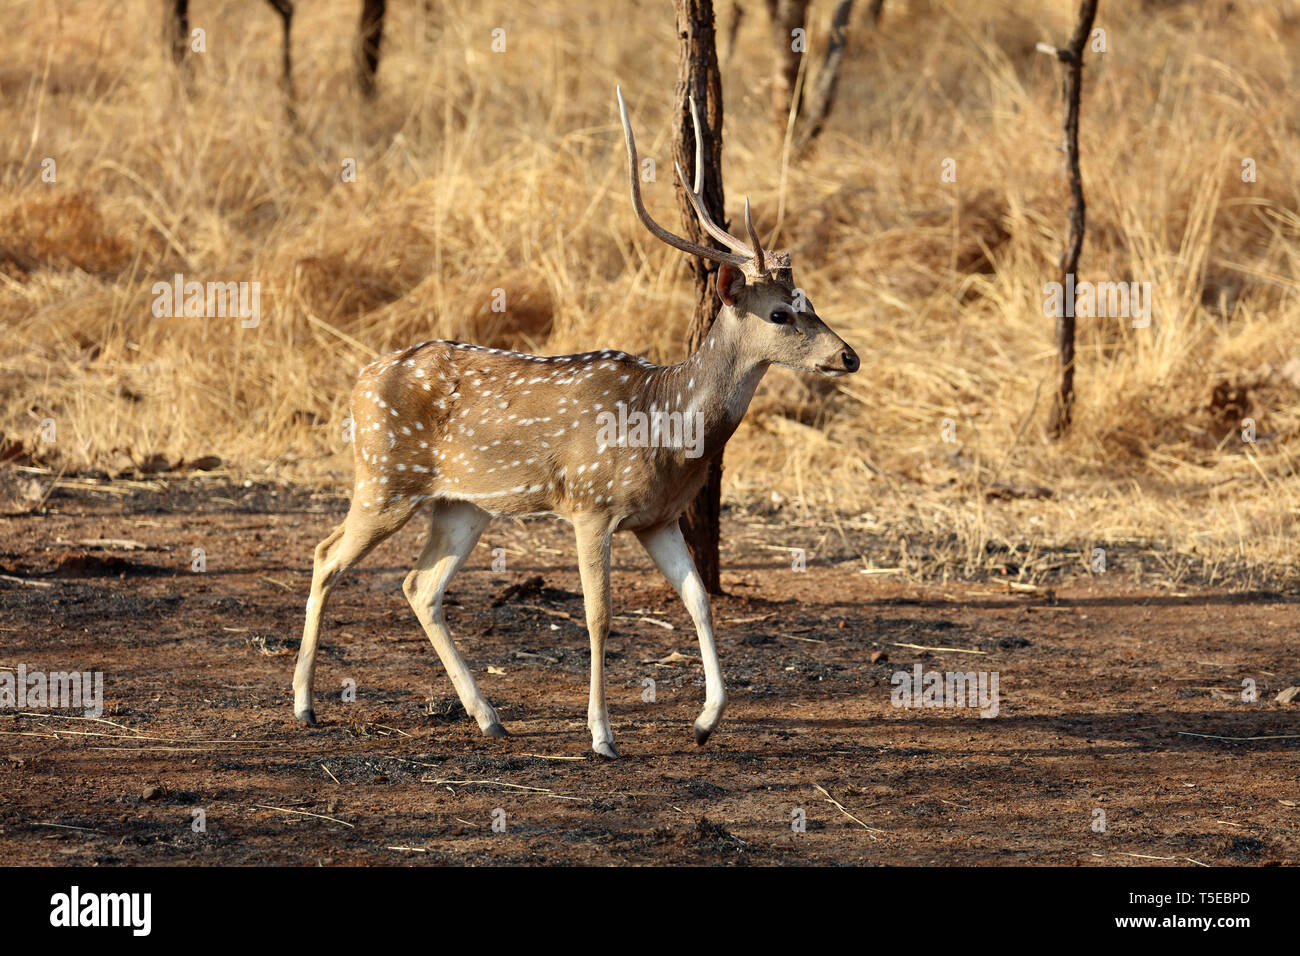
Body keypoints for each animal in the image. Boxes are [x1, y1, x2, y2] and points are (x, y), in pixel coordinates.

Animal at [291, 87, 860, 758]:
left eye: (809, 302)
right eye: (778, 313)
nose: (848, 356)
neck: (665, 427)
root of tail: (359, 382)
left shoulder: (658, 518)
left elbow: (698, 601)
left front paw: (706, 720)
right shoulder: (592, 504)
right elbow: (598, 615)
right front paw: (602, 736)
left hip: (463, 504)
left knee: (418, 585)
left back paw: (489, 717)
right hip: (385, 479)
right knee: (326, 555)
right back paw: (303, 706)